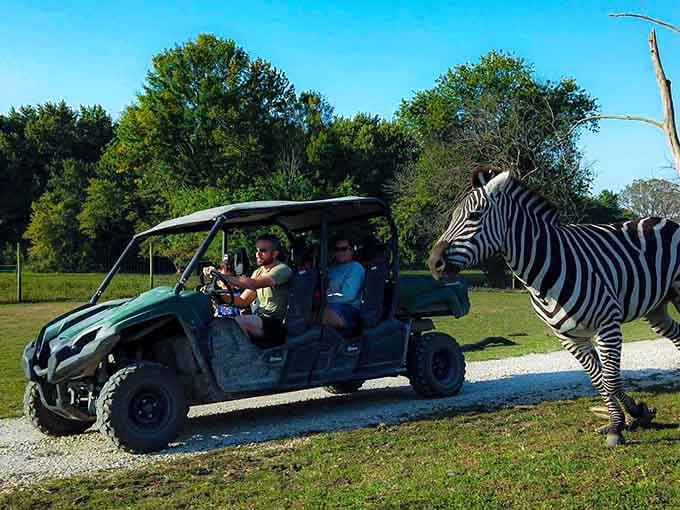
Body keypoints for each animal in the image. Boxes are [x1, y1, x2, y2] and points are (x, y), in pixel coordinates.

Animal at [428, 169, 680, 447]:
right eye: (452, 217)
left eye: (474, 215)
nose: (433, 263)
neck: (543, 274)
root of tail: (664, 220)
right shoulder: (568, 337)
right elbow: (599, 380)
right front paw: (630, 416)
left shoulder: (608, 324)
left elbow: (611, 380)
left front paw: (618, 426)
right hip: (656, 309)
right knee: (677, 335)